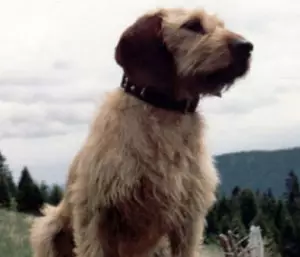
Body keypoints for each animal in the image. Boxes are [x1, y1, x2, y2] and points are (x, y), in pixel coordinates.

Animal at [29, 6, 253, 257]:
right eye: (192, 25)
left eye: (222, 25)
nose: (246, 46)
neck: (166, 113)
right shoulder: (94, 214)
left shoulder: (188, 221)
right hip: (47, 228)